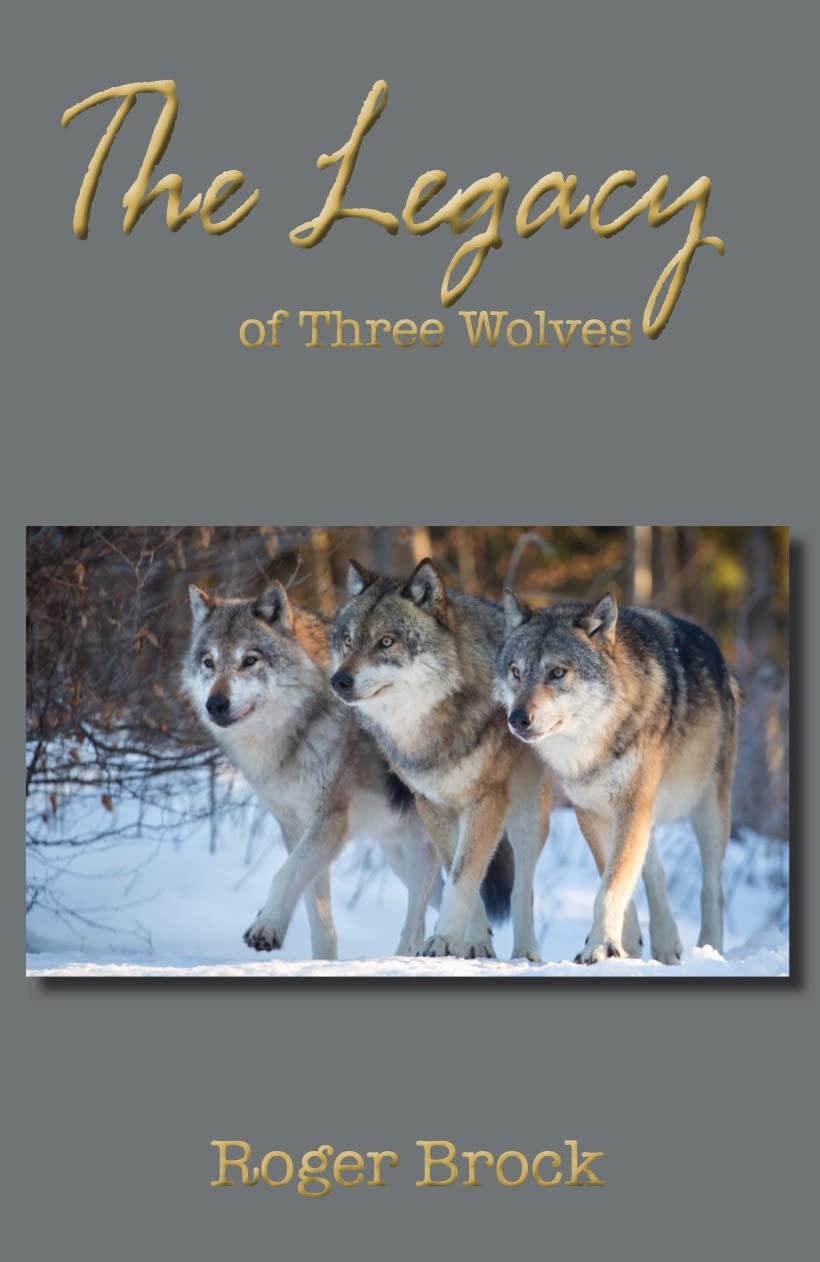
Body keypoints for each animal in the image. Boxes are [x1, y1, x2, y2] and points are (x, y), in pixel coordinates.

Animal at [182, 582, 442, 959]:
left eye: (249, 660)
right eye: (208, 663)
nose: (215, 704)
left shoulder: (329, 821)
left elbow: (284, 875)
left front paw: (265, 926)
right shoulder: (296, 827)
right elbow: (318, 916)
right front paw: (322, 961)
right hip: (401, 855)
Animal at [329, 557, 552, 961]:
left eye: (387, 641)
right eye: (349, 640)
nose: (338, 681)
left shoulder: (486, 801)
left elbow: (465, 875)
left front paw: (446, 939)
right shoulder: (432, 805)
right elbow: (460, 874)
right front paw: (467, 943)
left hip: (526, 816)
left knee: (523, 887)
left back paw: (526, 953)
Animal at [497, 590, 741, 963]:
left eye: (557, 672)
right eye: (516, 672)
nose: (517, 718)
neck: (592, 745)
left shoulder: (630, 806)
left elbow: (611, 886)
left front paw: (599, 946)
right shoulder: (592, 812)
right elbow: (611, 878)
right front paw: (622, 943)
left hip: (708, 813)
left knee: (712, 888)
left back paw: (709, 950)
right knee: (654, 870)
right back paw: (665, 942)